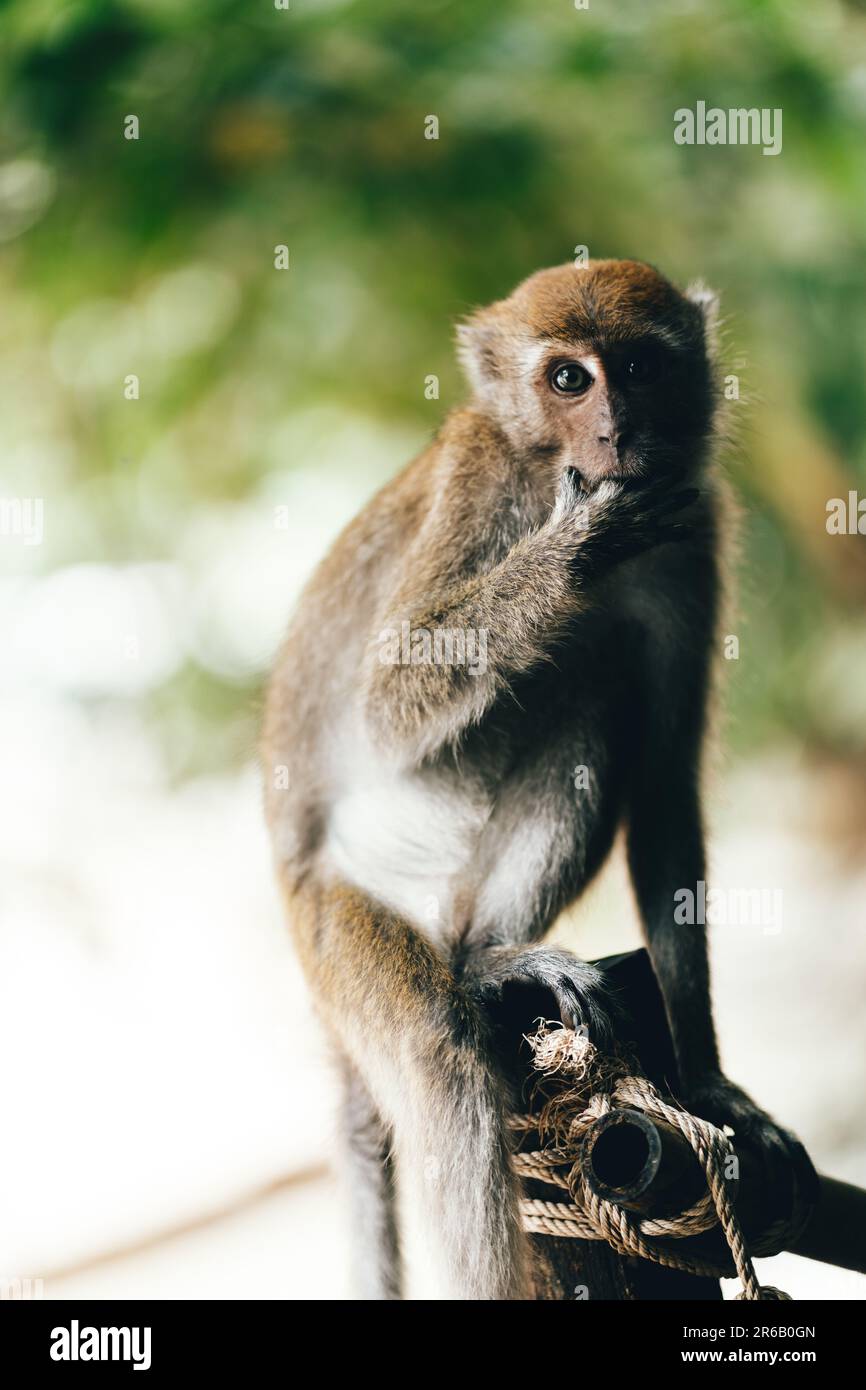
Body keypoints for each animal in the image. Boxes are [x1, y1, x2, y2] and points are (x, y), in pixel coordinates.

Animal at [263, 258, 798, 1300]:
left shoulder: (696, 533)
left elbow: (664, 785)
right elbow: (386, 702)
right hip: (335, 924)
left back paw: (487, 954)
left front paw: (713, 1085)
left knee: (601, 695)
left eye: (638, 367)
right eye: (568, 380)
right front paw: (578, 550)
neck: (549, 470)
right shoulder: (478, 475)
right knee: (438, 1053)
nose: (617, 430)